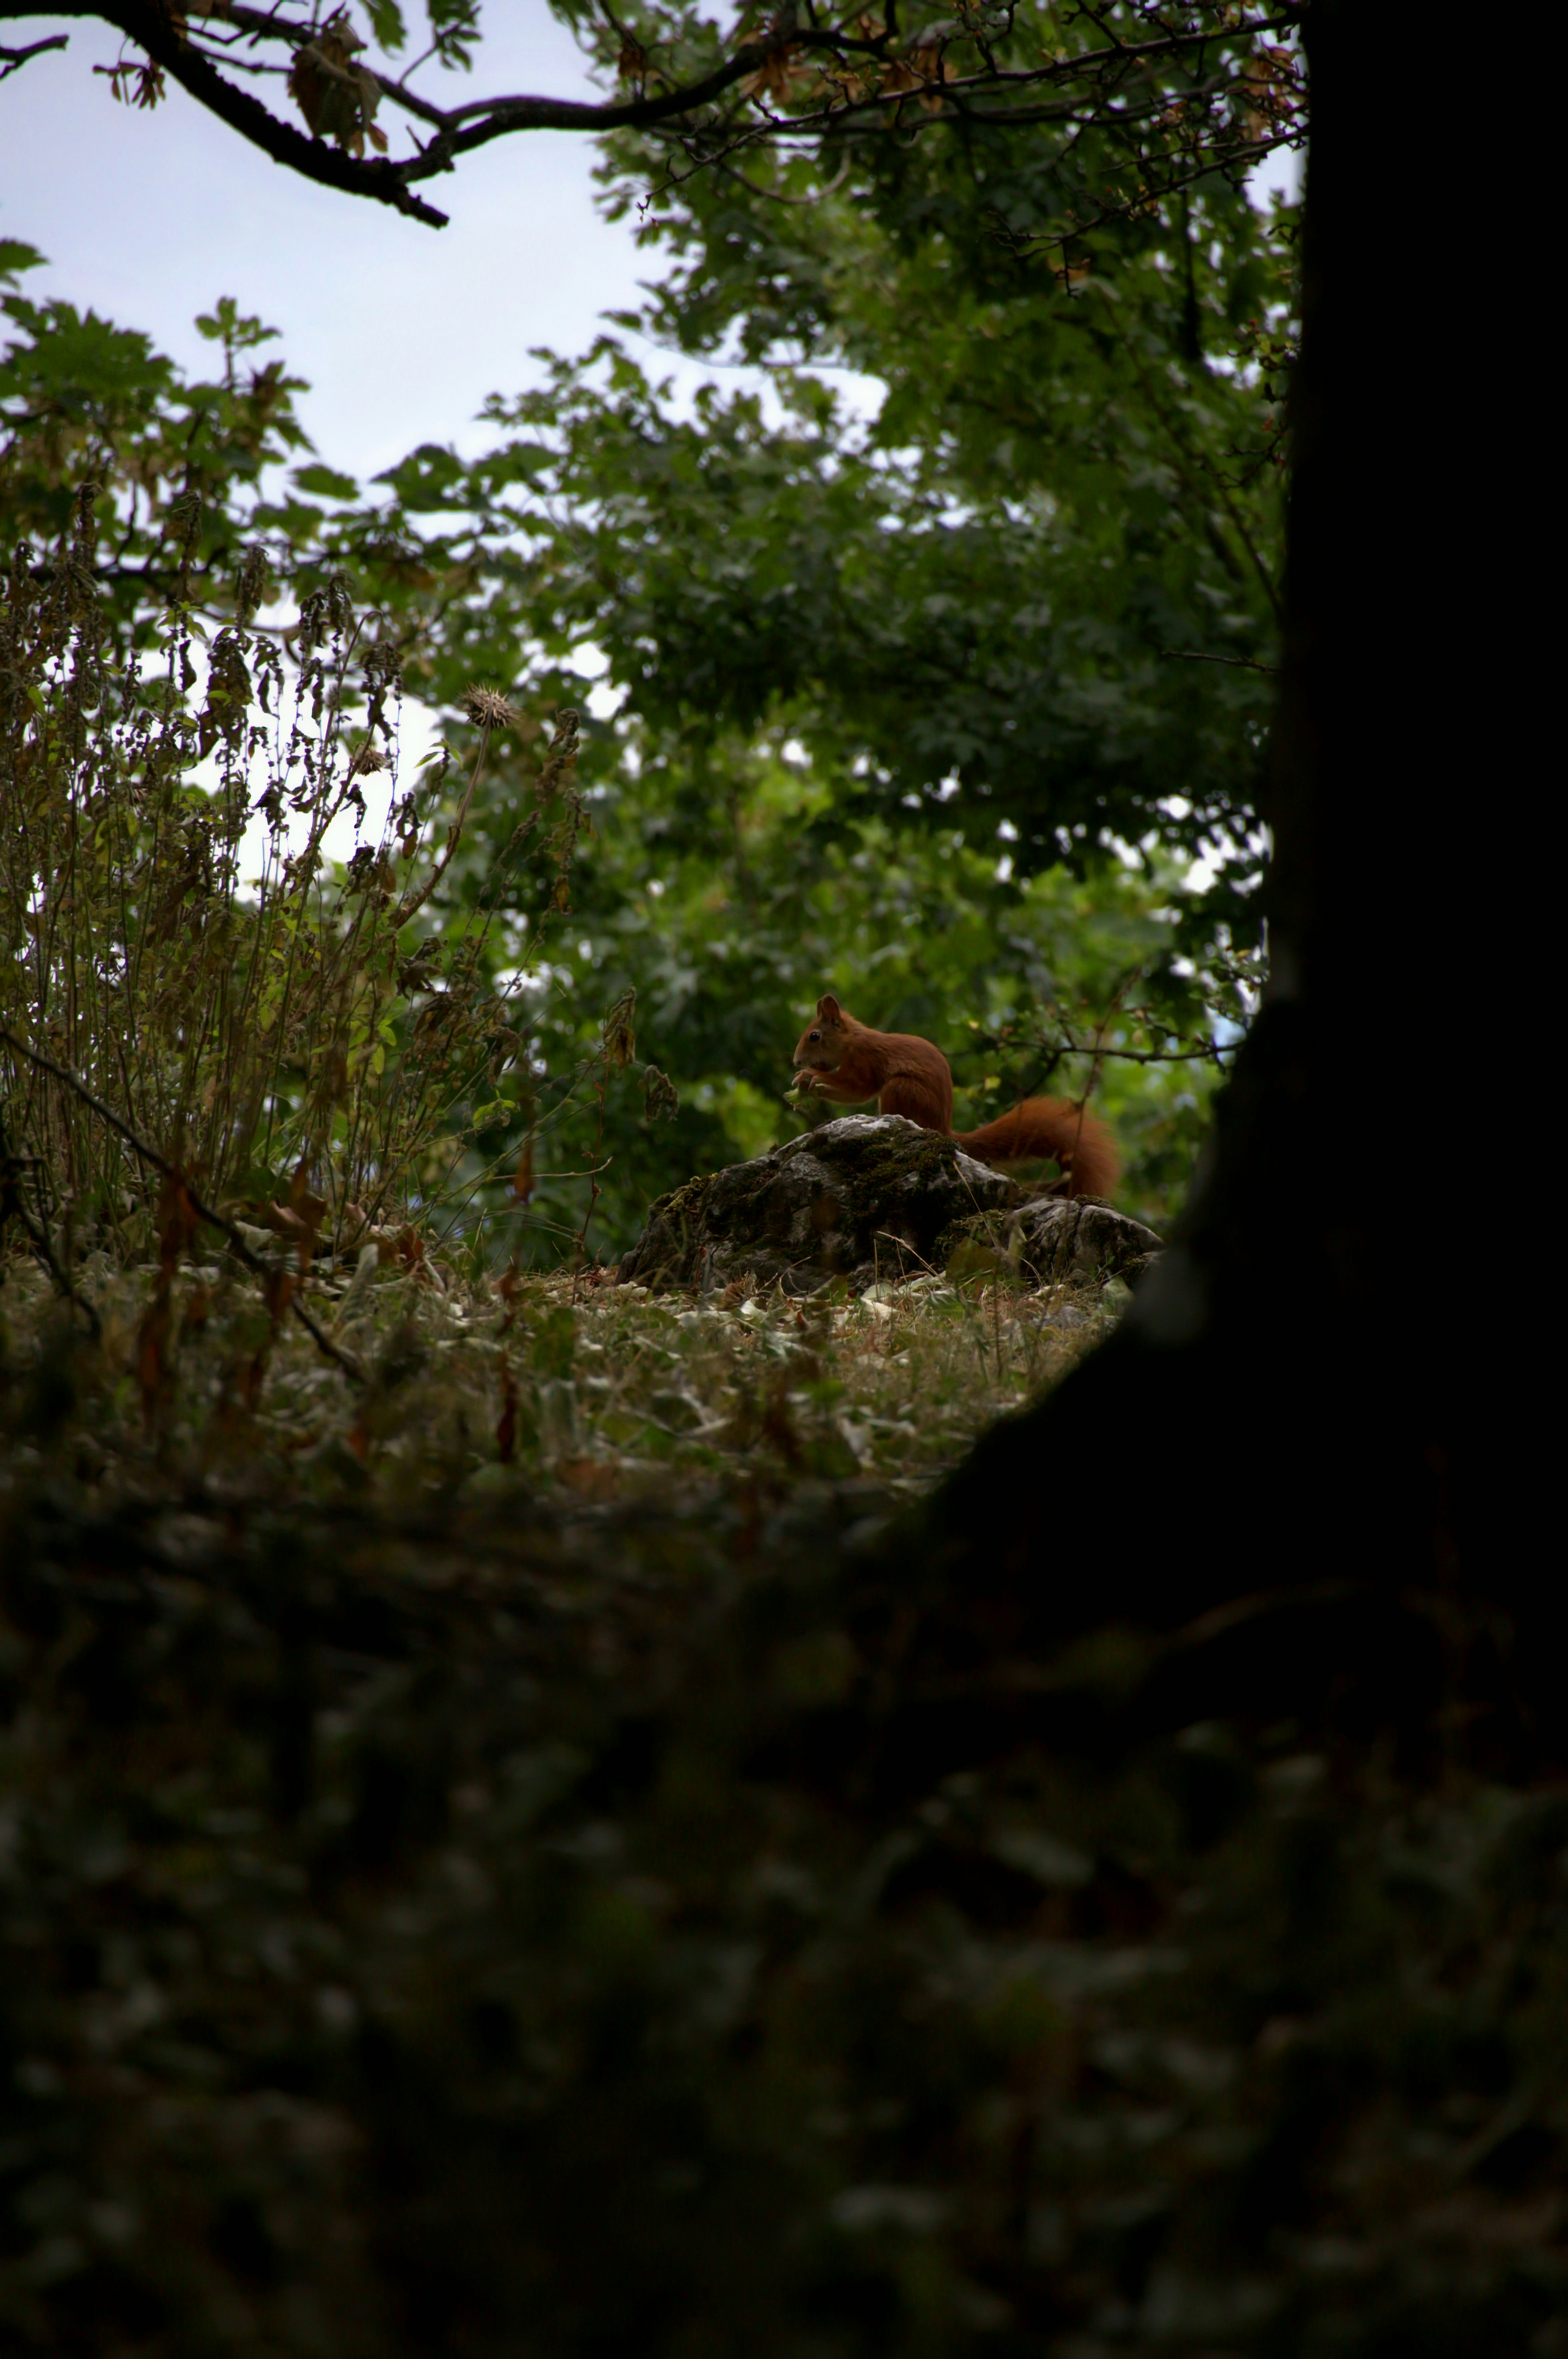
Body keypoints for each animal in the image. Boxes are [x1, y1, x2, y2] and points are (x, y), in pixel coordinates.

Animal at [791, 993, 1119, 1200]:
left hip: (901, 1090)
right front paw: (803, 1084)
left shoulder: (864, 1063)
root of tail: (945, 1130)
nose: (796, 1062)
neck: (851, 1040)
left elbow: (855, 1090)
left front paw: (811, 1078)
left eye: (815, 1037)